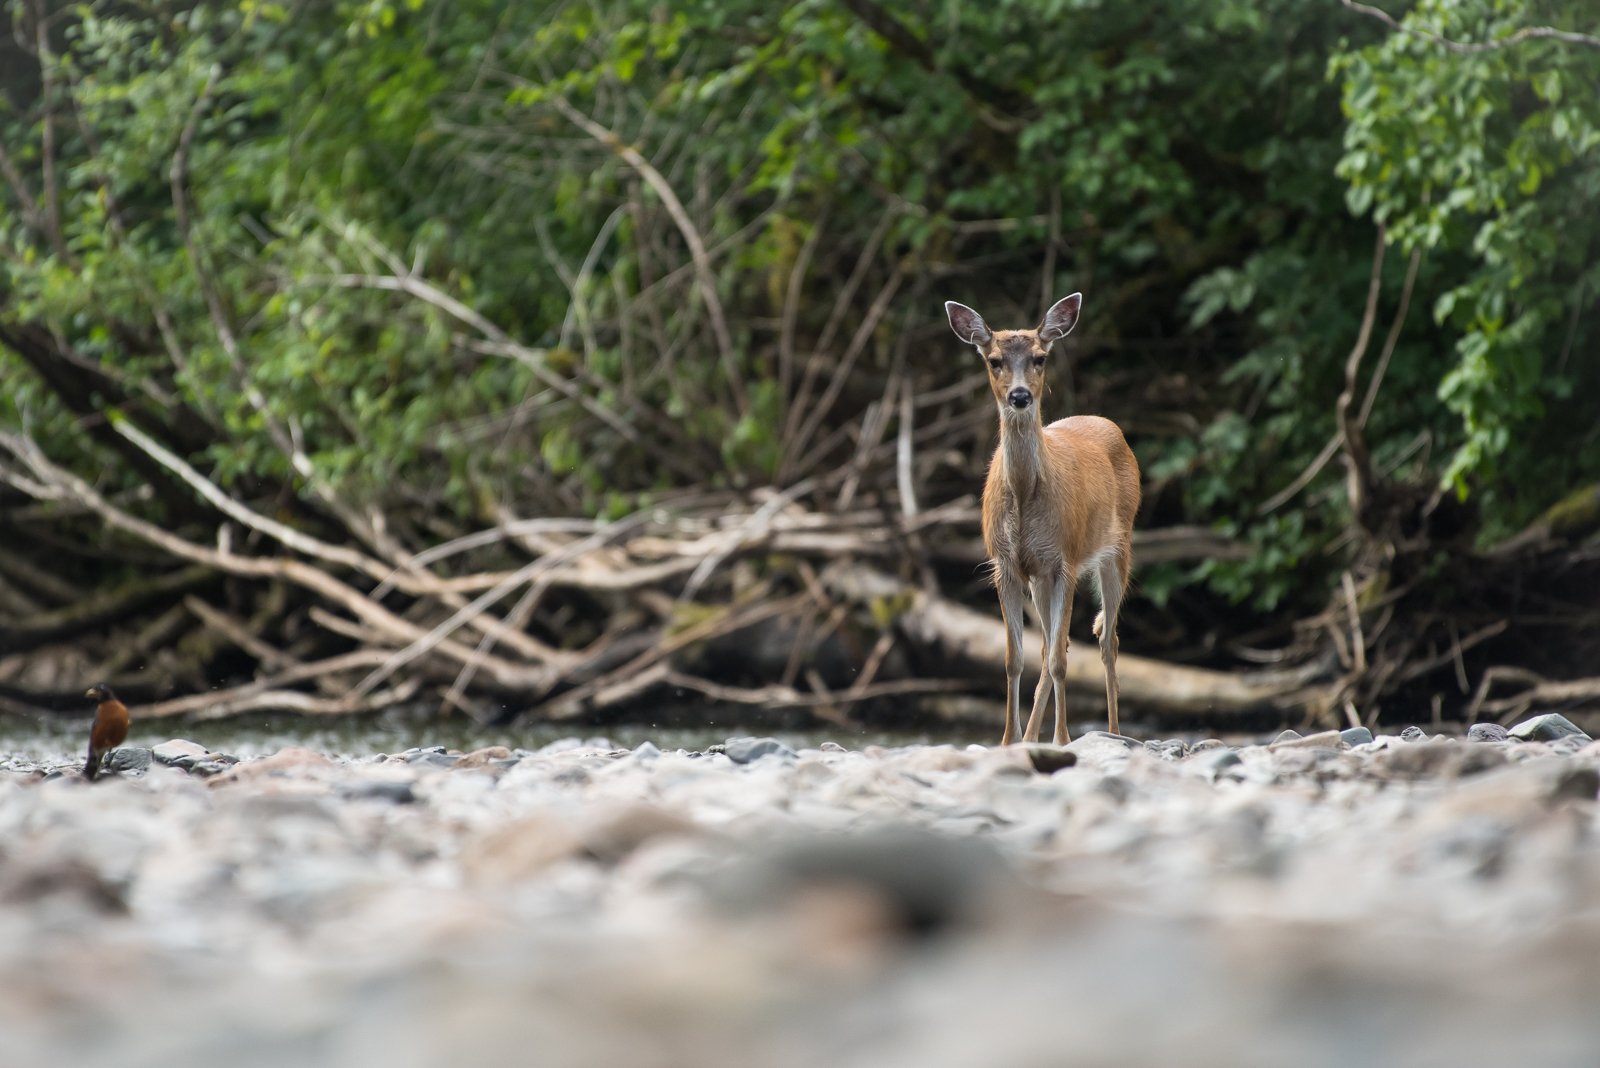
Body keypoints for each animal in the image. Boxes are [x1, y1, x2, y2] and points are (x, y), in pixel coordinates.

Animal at [944, 293, 1140, 747]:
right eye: (994, 360)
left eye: (1040, 357)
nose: (1019, 396)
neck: (1022, 496)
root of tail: (1108, 424)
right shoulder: (1005, 564)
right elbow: (1015, 658)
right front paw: (1008, 740)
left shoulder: (1064, 558)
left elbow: (1059, 661)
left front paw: (1063, 739)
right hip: (1039, 577)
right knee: (1054, 644)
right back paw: (1033, 735)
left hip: (1116, 548)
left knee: (1106, 640)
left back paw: (1114, 732)